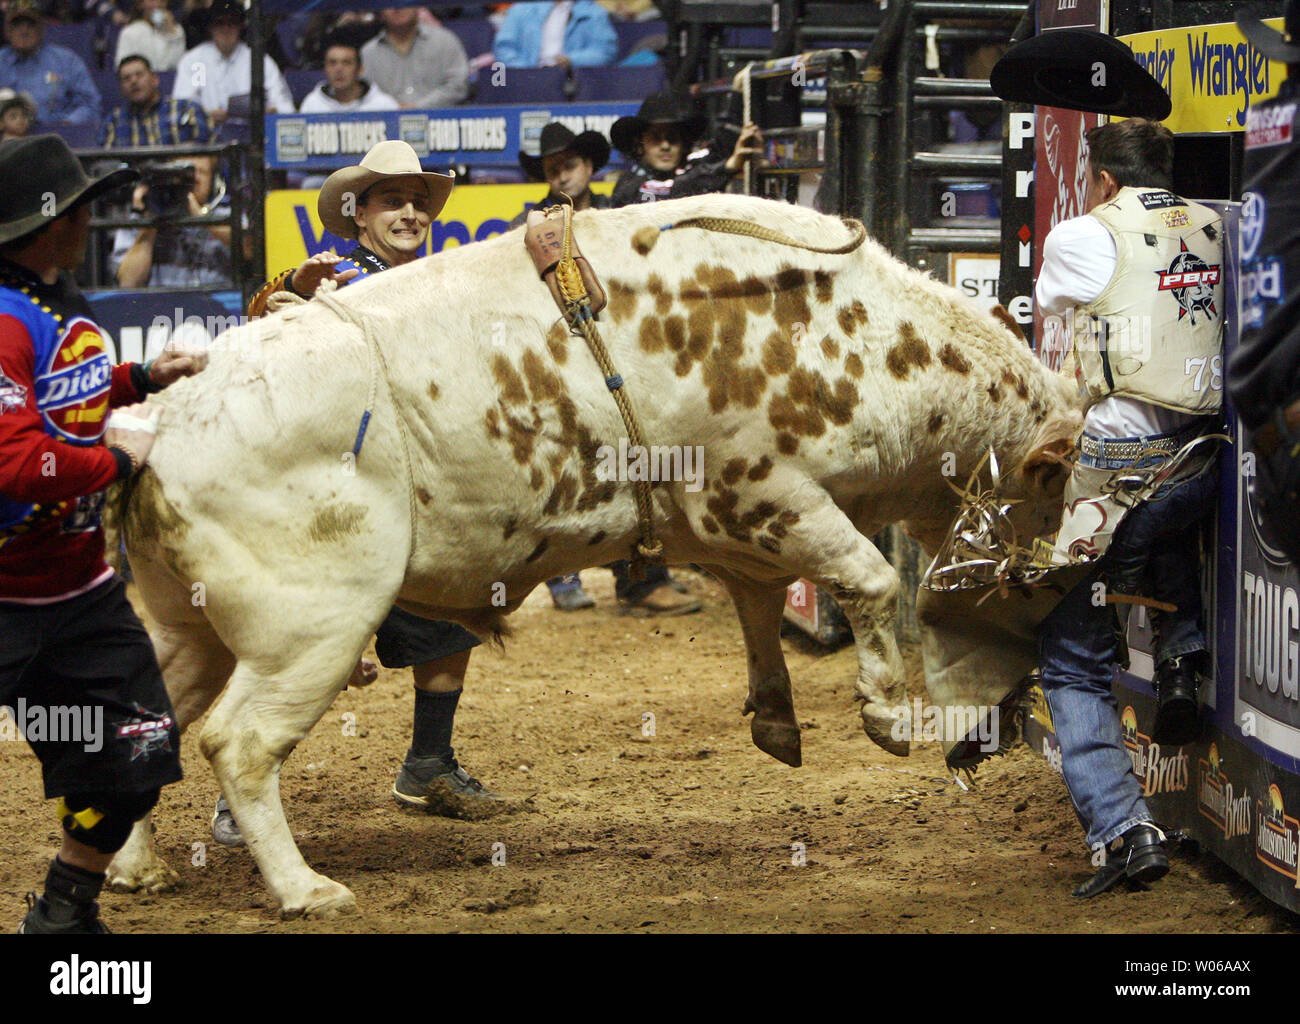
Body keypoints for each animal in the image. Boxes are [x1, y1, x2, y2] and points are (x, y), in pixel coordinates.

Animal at [105, 194, 1081, 917]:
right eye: (1052, 482)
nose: (1042, 578)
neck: (849, 337)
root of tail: (158, 422)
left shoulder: (738, 528)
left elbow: (764, 610)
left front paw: (775, 720)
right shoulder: (768, 492)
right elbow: (868, 579)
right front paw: (885, 715)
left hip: (191, 625)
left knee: (149, 719)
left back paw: (136, 867)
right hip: (312, 627)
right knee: (239, 743)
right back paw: (306, 888)